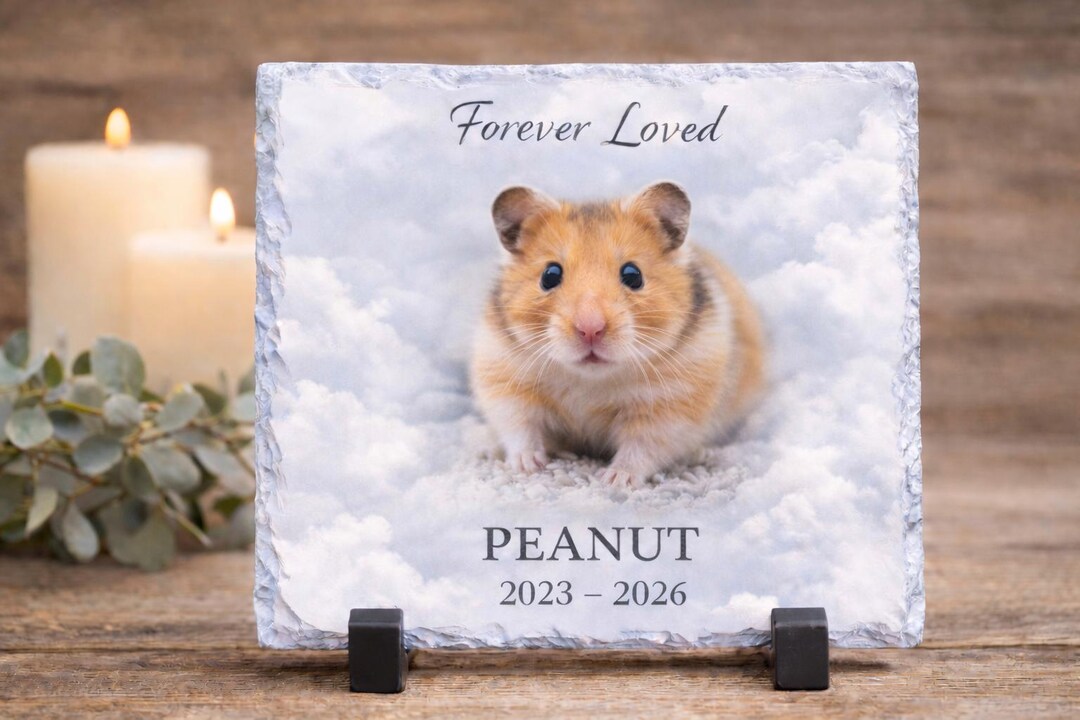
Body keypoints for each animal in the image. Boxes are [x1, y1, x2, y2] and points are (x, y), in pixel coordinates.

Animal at [470, 181, 765, 486]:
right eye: (549, 275)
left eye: (633, 274)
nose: (590, 329)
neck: (590, 379)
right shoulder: (504, 383)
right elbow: (521, 429)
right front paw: (528, 466)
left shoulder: (671, 407)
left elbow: (641, 448)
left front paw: (615, 479)